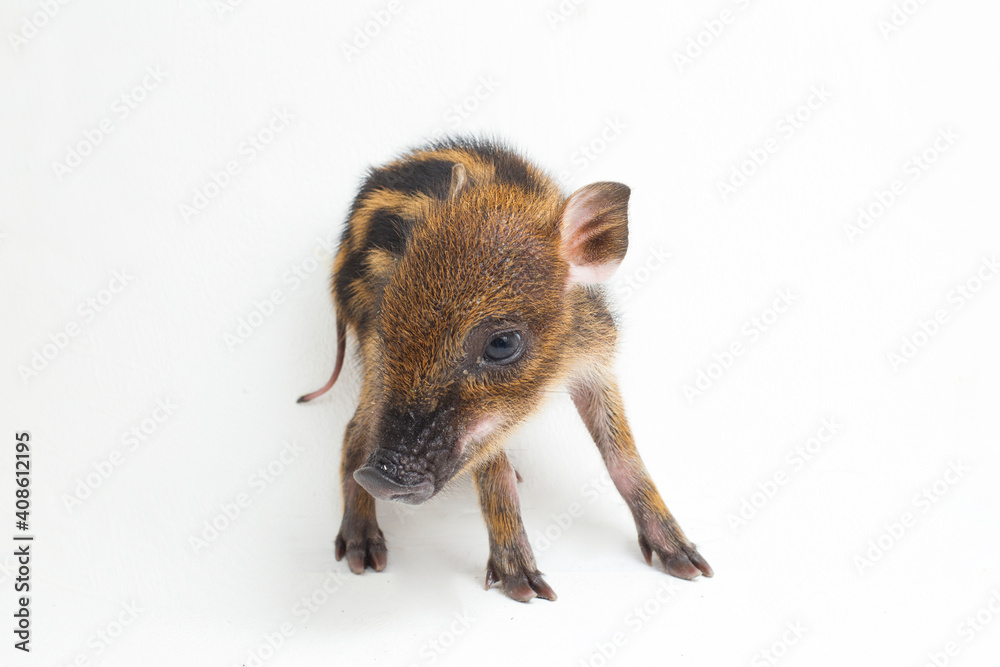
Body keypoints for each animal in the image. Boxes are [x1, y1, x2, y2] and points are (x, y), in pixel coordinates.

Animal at [298, 137, 712, 602]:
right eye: (393, 319)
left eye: (502, 343)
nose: (382, 476)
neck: (559, 365)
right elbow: (494, 476)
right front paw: (524, 585)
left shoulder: (595, 364)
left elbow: (624, 458)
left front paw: (686, 560)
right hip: (371, 359)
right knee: (354, 430)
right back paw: (363, 553)